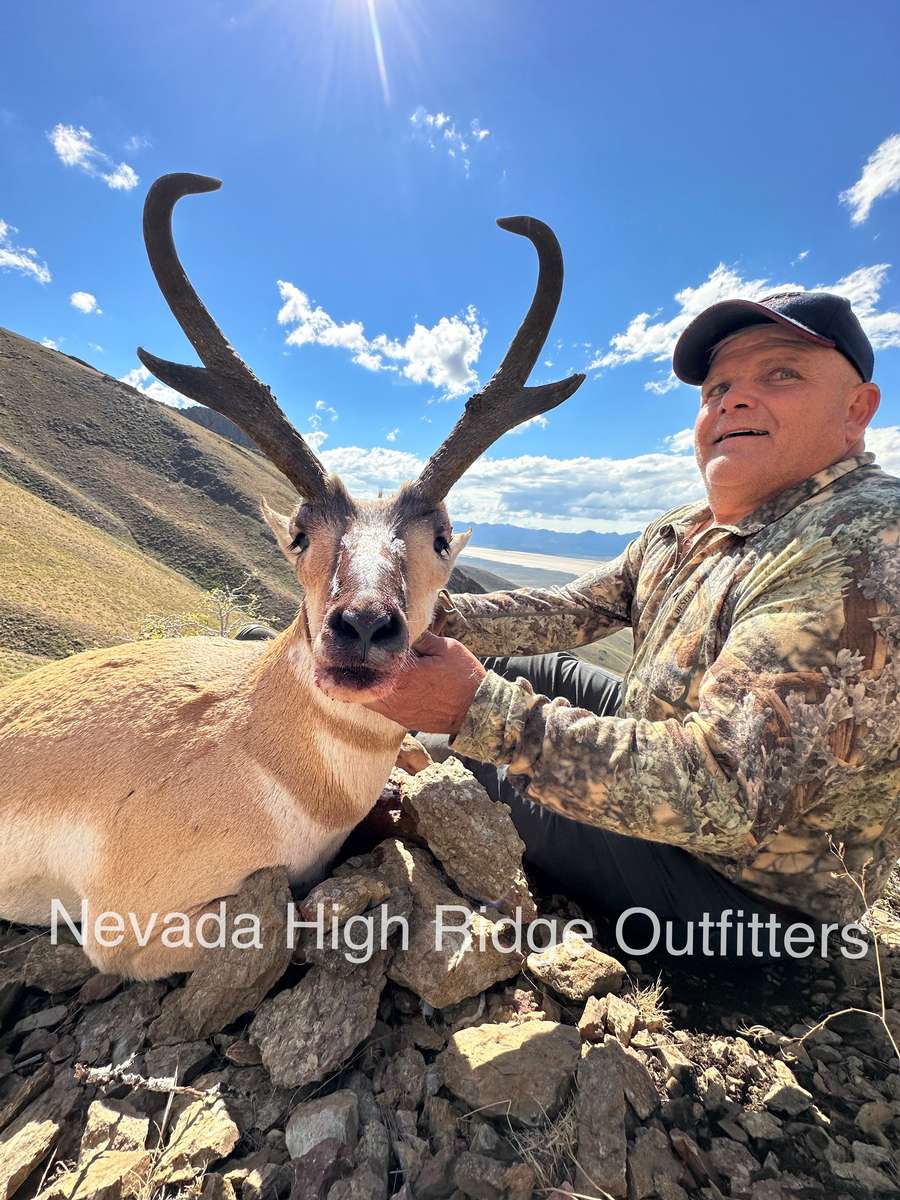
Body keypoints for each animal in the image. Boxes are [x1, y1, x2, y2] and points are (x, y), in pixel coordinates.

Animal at [0, 173, 584, 980]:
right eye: (301, 534)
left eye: (440, 539)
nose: (363, 625)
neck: (258, 748)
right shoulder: (124, 936)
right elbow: (285, 918)